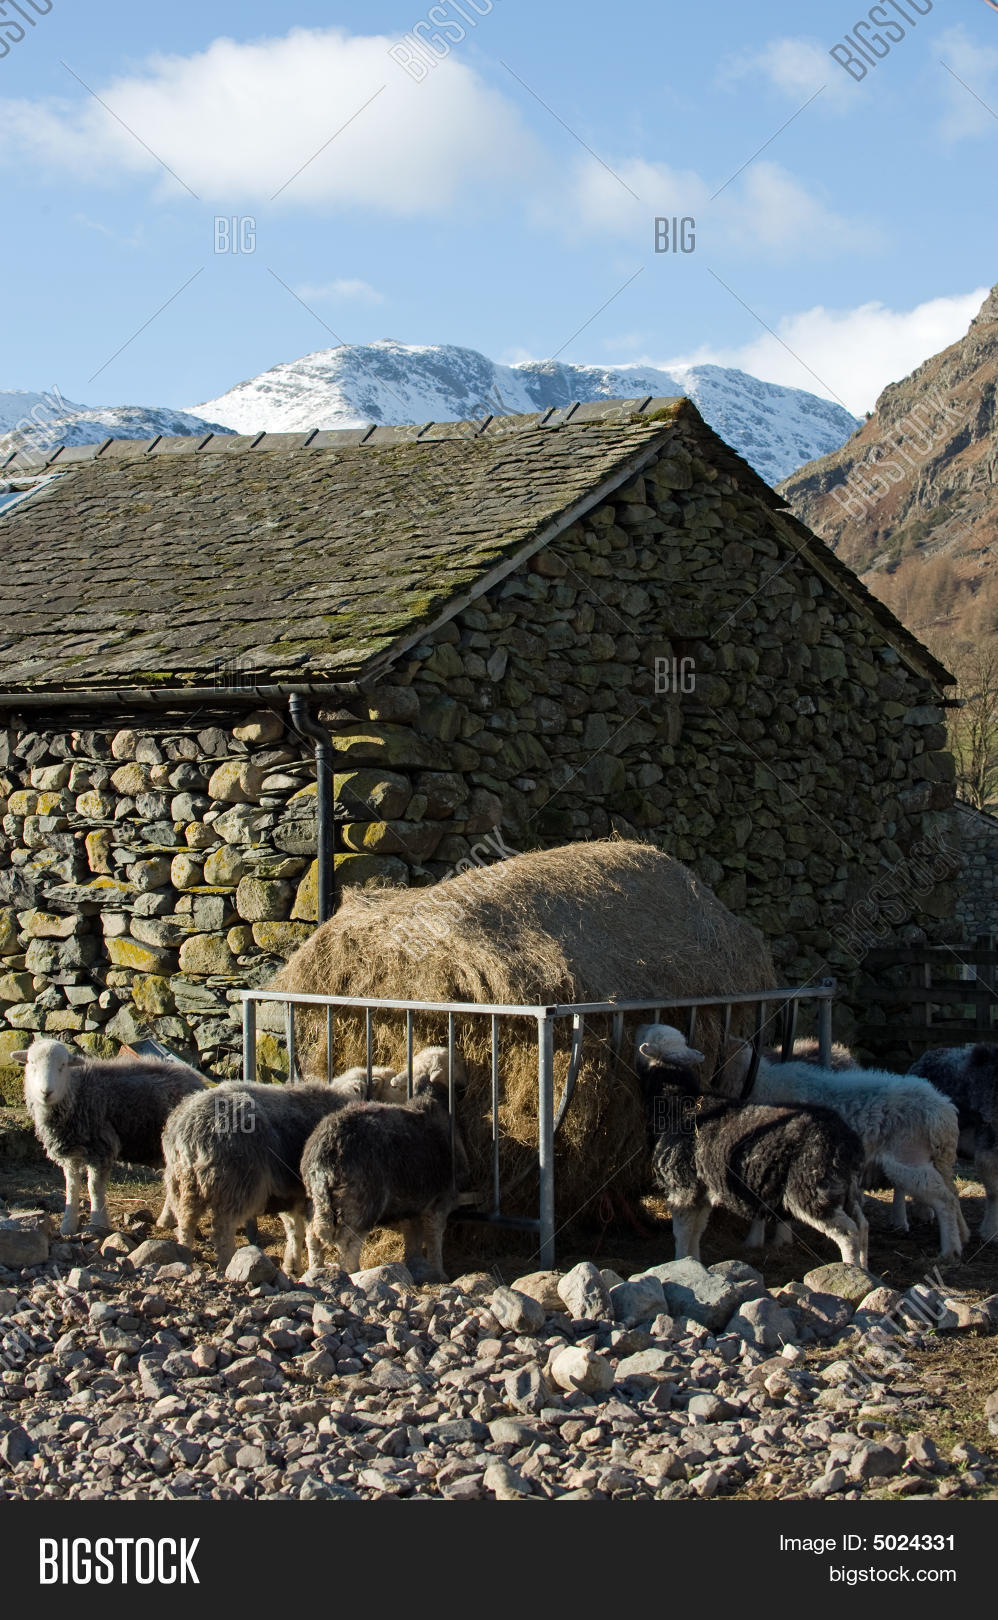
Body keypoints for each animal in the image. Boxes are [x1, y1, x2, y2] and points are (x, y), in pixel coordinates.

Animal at [13, 1038, 206, 1236]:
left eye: (63, 1065)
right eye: (32, 1063)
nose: (46, 1092)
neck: (77, 1091)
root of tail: (194, 1077)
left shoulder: (100, 1148)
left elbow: (94, 1188)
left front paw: (97, 1223)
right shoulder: (71, 1153)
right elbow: (71, 1189)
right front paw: (67, 1226)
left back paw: (168, 1219)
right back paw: (166, 1220)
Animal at [162, 1065, 400, 1274]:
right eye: (395, 1086)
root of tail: (188, 1132)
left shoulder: (292, 1193)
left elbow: (294, 1230)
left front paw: (292, 1266)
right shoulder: (308, 1195)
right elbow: (308, 1233)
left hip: (183, 1184)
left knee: (186, 1222)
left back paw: (185, 1255)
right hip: (235, 1184)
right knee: (222, 1229)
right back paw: (226, 1262)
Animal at [301, 1068, 470, 1282]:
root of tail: (322, 1158)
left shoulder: (411, 1205)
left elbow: (413, 1235)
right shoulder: (441, 1199)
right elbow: (434, 1236)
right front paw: (439, 1274)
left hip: (315, 1201)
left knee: (312, 1237)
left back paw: (316, 1271)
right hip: (360, 1203)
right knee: (347, 1242)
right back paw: (353, 1272)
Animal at [635, 1024, 869, 1268]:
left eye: (645, 1036)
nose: (641, 1026)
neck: (680, 1103)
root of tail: (848, 1142)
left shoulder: (682, 1186)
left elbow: (682, 1233)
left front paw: (680, 1260)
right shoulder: (703, 1189)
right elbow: (697, 1230)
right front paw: (694, 1261)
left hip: (811, 1187)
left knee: (848, 1232)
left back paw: (851, 1268)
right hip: (844, 1187)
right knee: (862, 1225)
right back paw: (865, 1269)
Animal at [734, 1044, 968, 1262]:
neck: (761, 1084)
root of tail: (941, 1109)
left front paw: (758, 1240)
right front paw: (774, 1240)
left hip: (908, 1160)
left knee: (944, 1199)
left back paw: (949, 1250)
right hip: (936, 1162)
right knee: (953, 1194)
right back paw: (962, 1235)